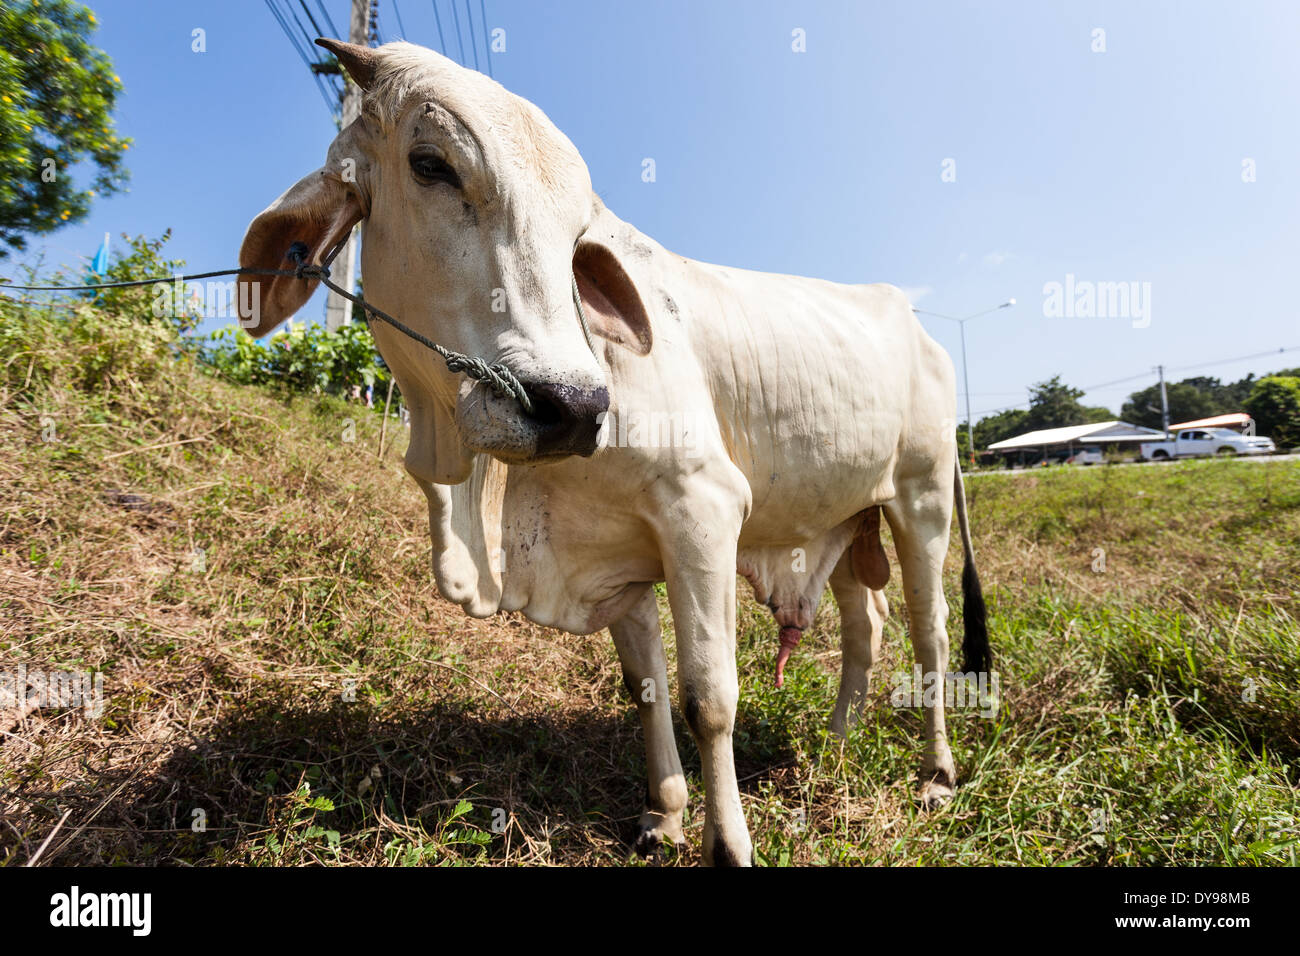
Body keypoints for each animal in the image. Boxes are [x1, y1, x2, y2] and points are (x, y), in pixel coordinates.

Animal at [236, 38, 990, 867]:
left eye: (577, 237)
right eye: (429, 164)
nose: (570, 406)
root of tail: (911, 318)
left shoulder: (702, 511)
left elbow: (708, 696)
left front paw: (727, 843)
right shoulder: (618, 555)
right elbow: (646, 689)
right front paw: (664, 816)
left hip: (921, 500)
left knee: (929, 631)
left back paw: (937, 772)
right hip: (845, 516)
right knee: (867, 626)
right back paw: (834, 743)